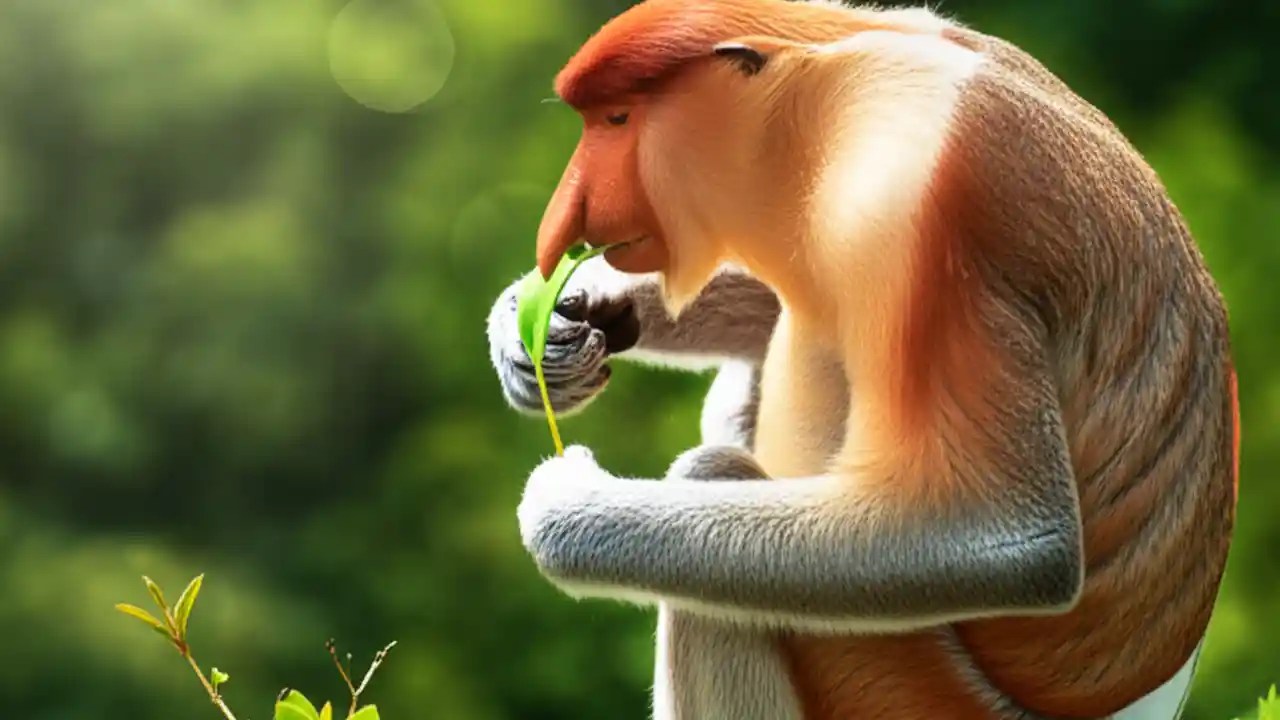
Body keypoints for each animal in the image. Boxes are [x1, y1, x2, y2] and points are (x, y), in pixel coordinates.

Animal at [490, 1, 1240, 718]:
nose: (564, 228)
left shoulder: (910, 212)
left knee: (717, 482)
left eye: (618, 120)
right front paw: (549, 328)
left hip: (897, 684)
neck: (825, 89)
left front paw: (565, 505)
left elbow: (1016, 537)